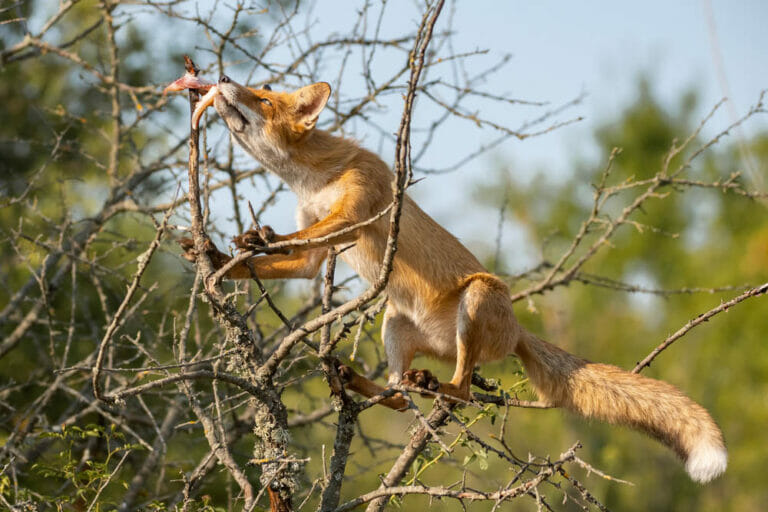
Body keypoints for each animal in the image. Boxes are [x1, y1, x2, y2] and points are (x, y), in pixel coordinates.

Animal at [179, 74, 727, 483]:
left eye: (263, 97)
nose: (218, 80)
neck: (314, 179)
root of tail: (517, 330)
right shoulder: (318, 253)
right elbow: (283, 258)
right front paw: (215, 254)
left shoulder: (355, 213)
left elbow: (292, 238)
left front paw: (257, 239)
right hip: (394, 324)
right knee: (398, 398)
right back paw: (358, 380)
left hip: (477, 300)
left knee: (460, 389)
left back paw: (436, 385)